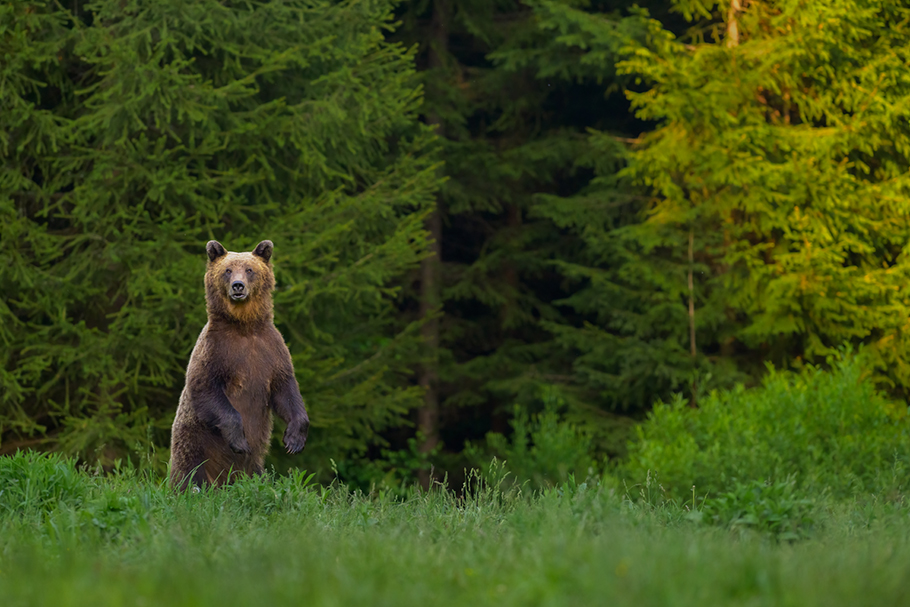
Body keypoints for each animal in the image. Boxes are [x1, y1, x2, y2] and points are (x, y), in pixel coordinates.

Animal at [168, 239, 309, 489]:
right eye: (227, 270)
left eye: (249, 269)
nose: (238, 286)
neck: (244, 327)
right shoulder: (215, 351)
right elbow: (206, 387)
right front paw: (241, 441)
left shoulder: (272, 351)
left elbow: (286, 390)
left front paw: (294, 440)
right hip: (193, 440)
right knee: (190, 471)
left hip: (253, 467)